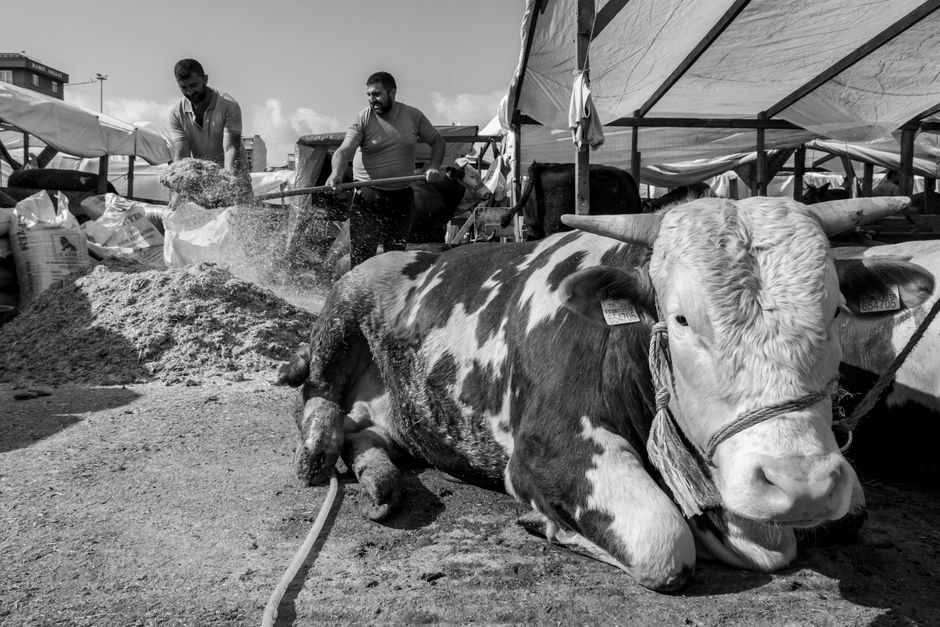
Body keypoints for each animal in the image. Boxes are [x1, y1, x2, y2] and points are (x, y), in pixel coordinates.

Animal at [277, 195, 910, 591]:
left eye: (835, 311)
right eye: (680, 319)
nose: (800, 486)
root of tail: (418, 248)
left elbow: (843, 518)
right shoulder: (546, 452)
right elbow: (665, 543)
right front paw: (544, 524)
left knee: (365, 430)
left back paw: (378, 476)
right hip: (346, 304)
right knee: (317, 397)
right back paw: (318, 444)